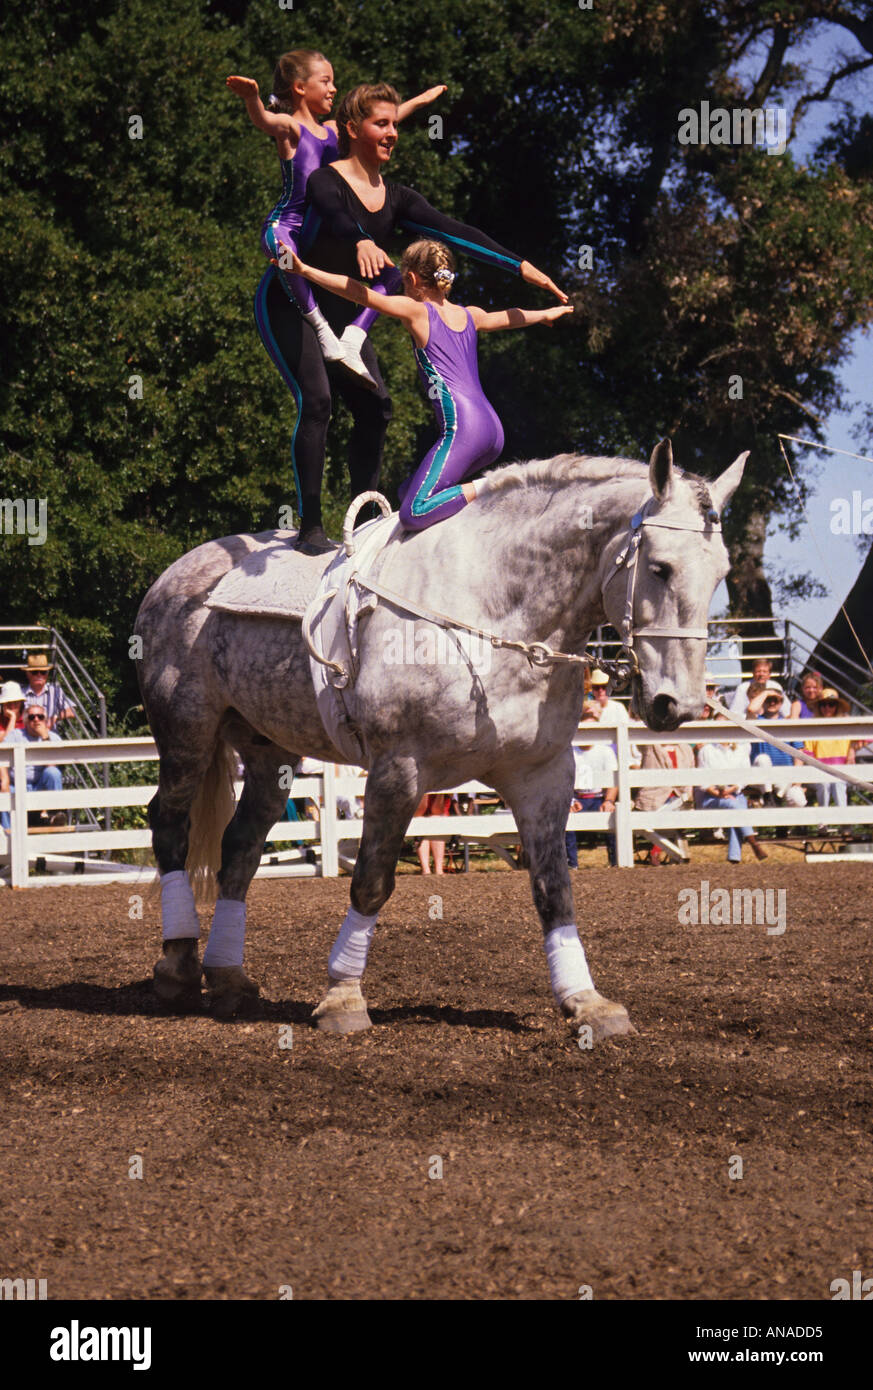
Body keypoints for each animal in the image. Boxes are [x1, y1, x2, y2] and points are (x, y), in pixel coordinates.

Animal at [136, 439, 746, 1039]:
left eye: (721, 573)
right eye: (661, 568)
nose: (677, 705)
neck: (494, 611)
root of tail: (178, 571)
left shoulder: (544, 774)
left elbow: (554, 890)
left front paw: (585, 1001)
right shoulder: (398, 769)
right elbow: (372, 880)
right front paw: (342, 999)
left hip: (269, 750)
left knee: (240, 846)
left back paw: (228, 977)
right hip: (187, 731)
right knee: (169, 825)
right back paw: (178, 965)